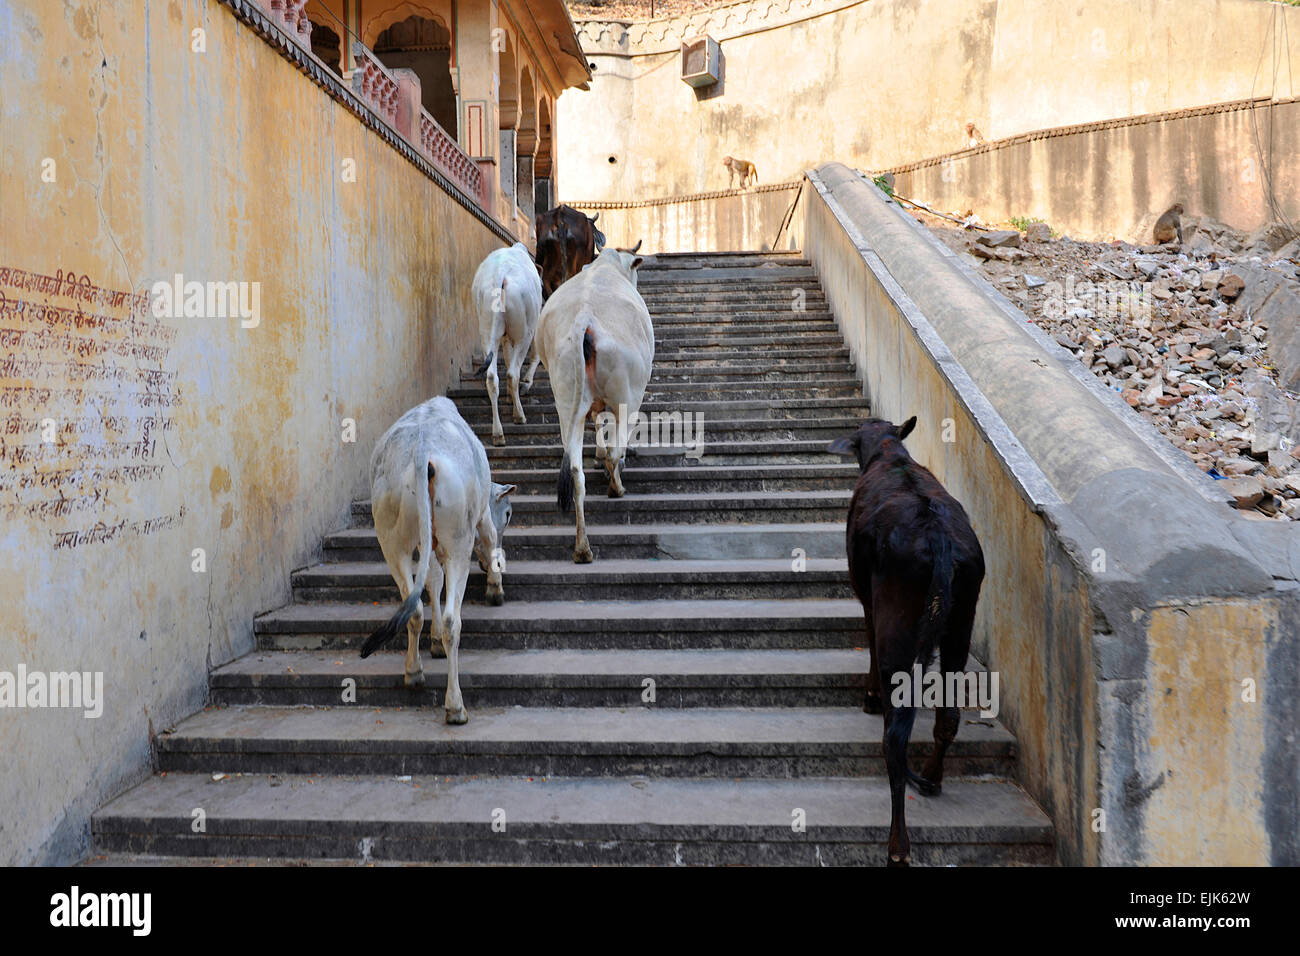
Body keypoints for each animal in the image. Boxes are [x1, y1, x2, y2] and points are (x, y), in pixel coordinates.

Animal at [360, 397, 516, 724]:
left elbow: (432, 578)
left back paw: (414, 672)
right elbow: (490, 539)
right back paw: (455, 706)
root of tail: (421, 452)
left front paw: (431, 643)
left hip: (390, 539)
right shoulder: (482, 517)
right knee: (451, 621)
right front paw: (495, 588)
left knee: (414, 607)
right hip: (458, 540)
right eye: (508, 513)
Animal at [471, 242, 544, 446]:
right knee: (513, 373)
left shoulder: (503, 337)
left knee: (491, 377)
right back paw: (519, 415)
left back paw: (498, 433)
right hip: (524, 330)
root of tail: (499, 274)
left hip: (486, 329)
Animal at [535, 246, 652, 563]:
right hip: (628, 397)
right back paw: (617, 487)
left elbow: (598, 423)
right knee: (616, 447)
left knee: (576, 474)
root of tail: (583, 320)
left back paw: (582, 548)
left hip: (565, 401)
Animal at [828, 416, 985, 866]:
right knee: (948, 718)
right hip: (960, 626)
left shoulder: (865, 595)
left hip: (896, 629)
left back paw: (898, 845)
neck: (888, 452)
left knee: (895, 740)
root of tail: (940, 541)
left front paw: (869, 696)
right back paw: (931, 778)